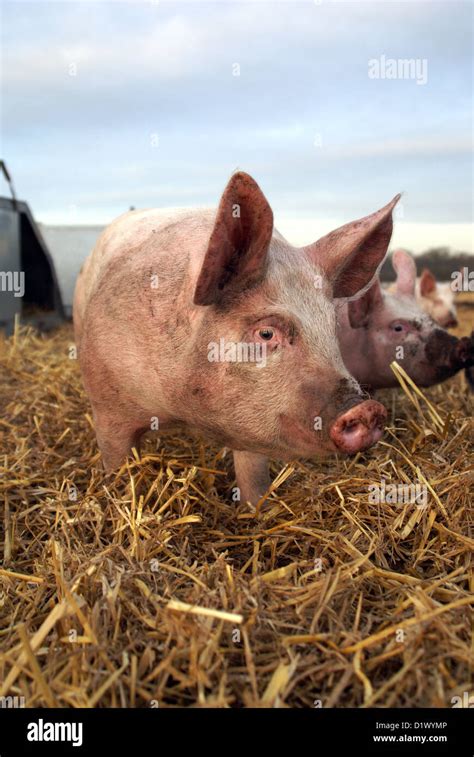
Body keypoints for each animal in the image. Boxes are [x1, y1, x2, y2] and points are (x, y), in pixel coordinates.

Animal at [73, 172, 400, 504]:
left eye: (331, 328)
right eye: (266, 333)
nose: (367, 409)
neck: (181, 410)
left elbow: (253, 474)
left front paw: (253, 507)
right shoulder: (107, 406)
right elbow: (117, 464)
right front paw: (117, 494)